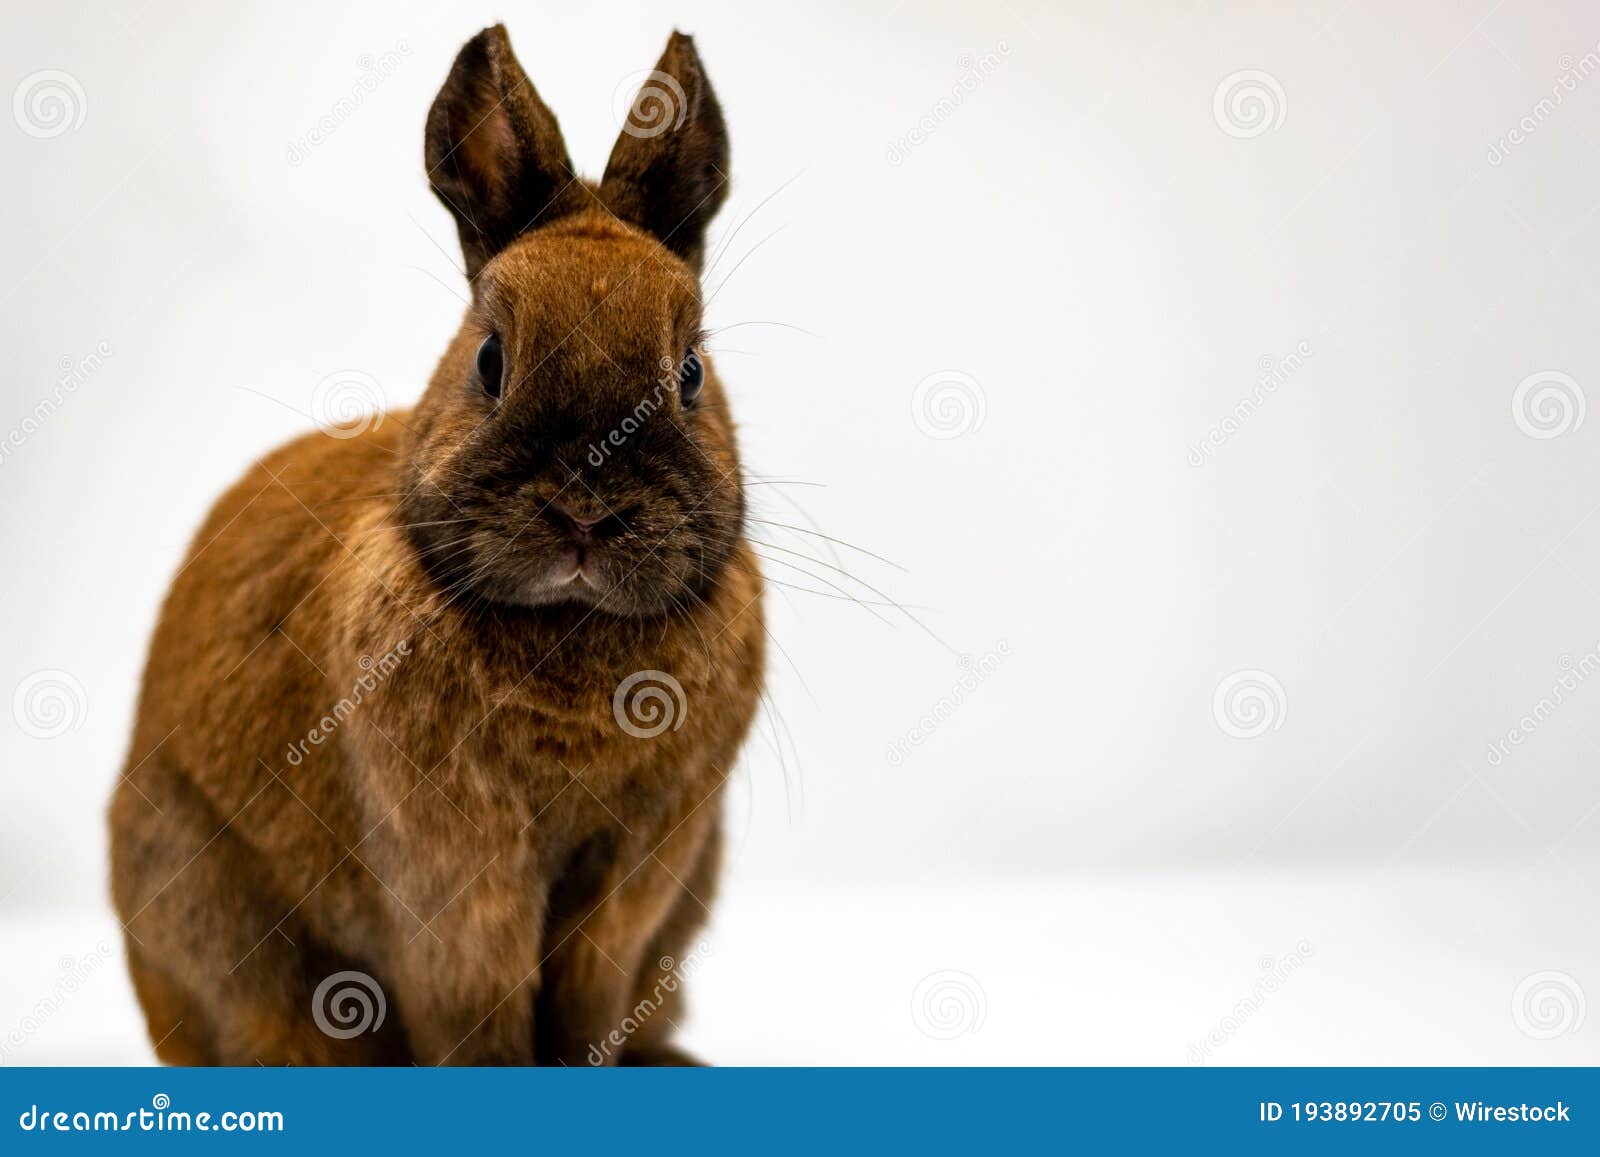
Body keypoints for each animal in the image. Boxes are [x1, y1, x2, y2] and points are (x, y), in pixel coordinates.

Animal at [108, 25, 764, 1066]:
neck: (570, 625)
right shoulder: (454, 872)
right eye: (490, 361)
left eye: (692, 372)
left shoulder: (639, 863)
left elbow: (592, 998)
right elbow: (477, 1010)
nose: (586, 509)